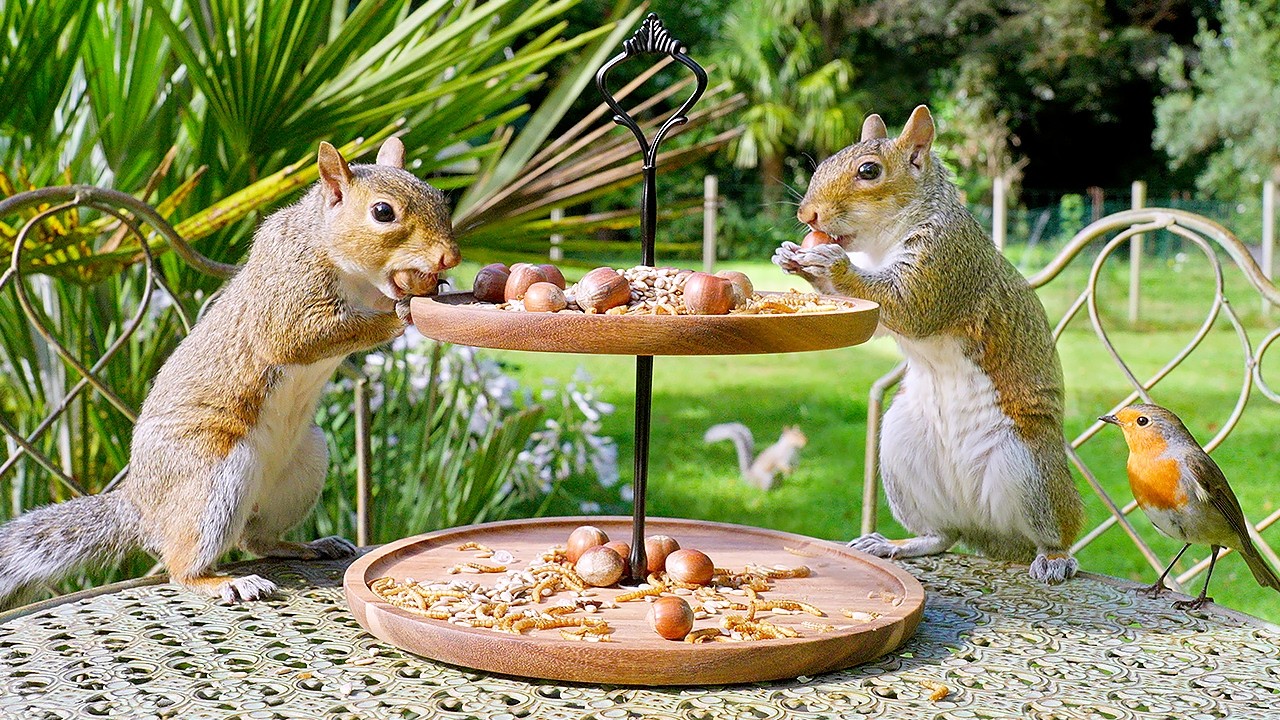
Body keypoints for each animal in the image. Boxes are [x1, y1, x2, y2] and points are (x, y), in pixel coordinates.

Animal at [0, 137, 460, 606]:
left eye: (440, 197)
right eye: (383, 212)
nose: (450, 257)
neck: (341, 259)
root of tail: (143, 505)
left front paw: (423, 287)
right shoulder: (285, 295)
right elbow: (296, 337)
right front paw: (399, 313)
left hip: (305, 464)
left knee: (256, 539)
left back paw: (308, 545)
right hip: (211, 478)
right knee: (182, 566)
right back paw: (225, 581)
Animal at [773, 105, 1084, 584]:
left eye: (869, 171)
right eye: (823, 163)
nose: (808, 215)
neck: (883, 243)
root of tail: (990, 535)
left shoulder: (945, 259)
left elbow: (909, 306)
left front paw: (829, 263)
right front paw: (790, 257)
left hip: (1030, 467)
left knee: (1054, 530)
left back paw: (1053, 557)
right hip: (901, 450)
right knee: (943, 535)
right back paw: (896, 545)